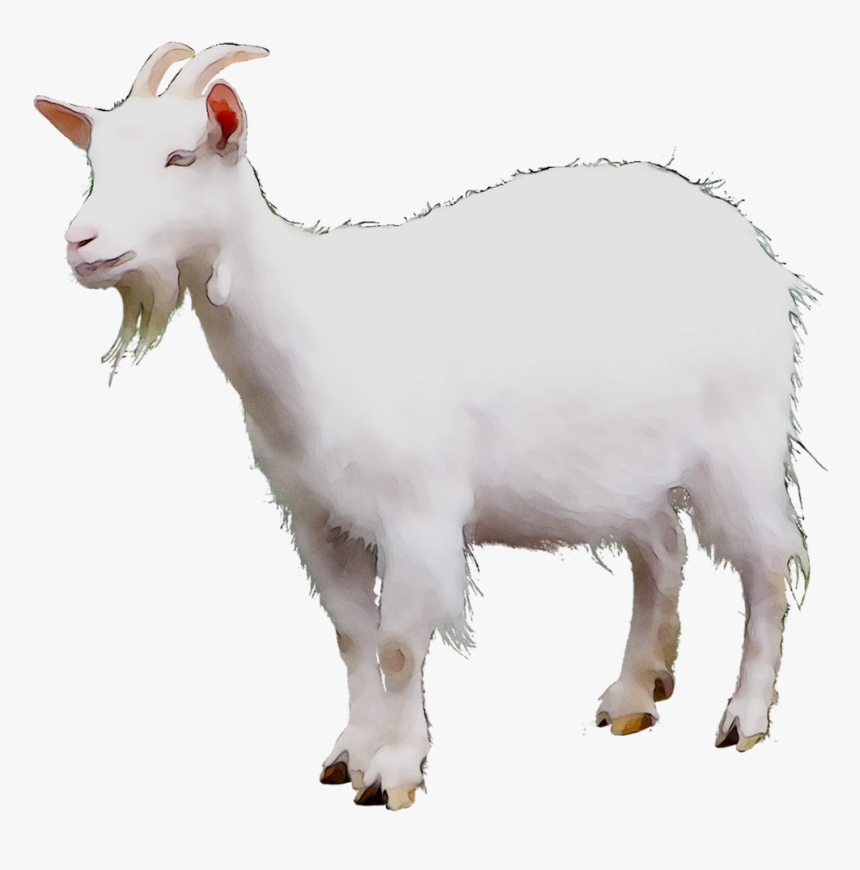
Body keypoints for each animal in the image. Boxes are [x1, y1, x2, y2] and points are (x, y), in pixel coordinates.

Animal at [35, 42, 816, 811]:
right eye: (95, 162)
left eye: (180, 157)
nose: (81, 243)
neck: (309, 323)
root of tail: (752, 247)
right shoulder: (315, 517)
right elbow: (352, 636)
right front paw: (349, 755)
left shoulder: (416, 510)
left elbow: (399, 644)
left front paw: (395, 772)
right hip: (625, 469)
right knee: (661, 554)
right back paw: (632, 695)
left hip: (741, 442)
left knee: (767, 564)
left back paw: (744, 717)